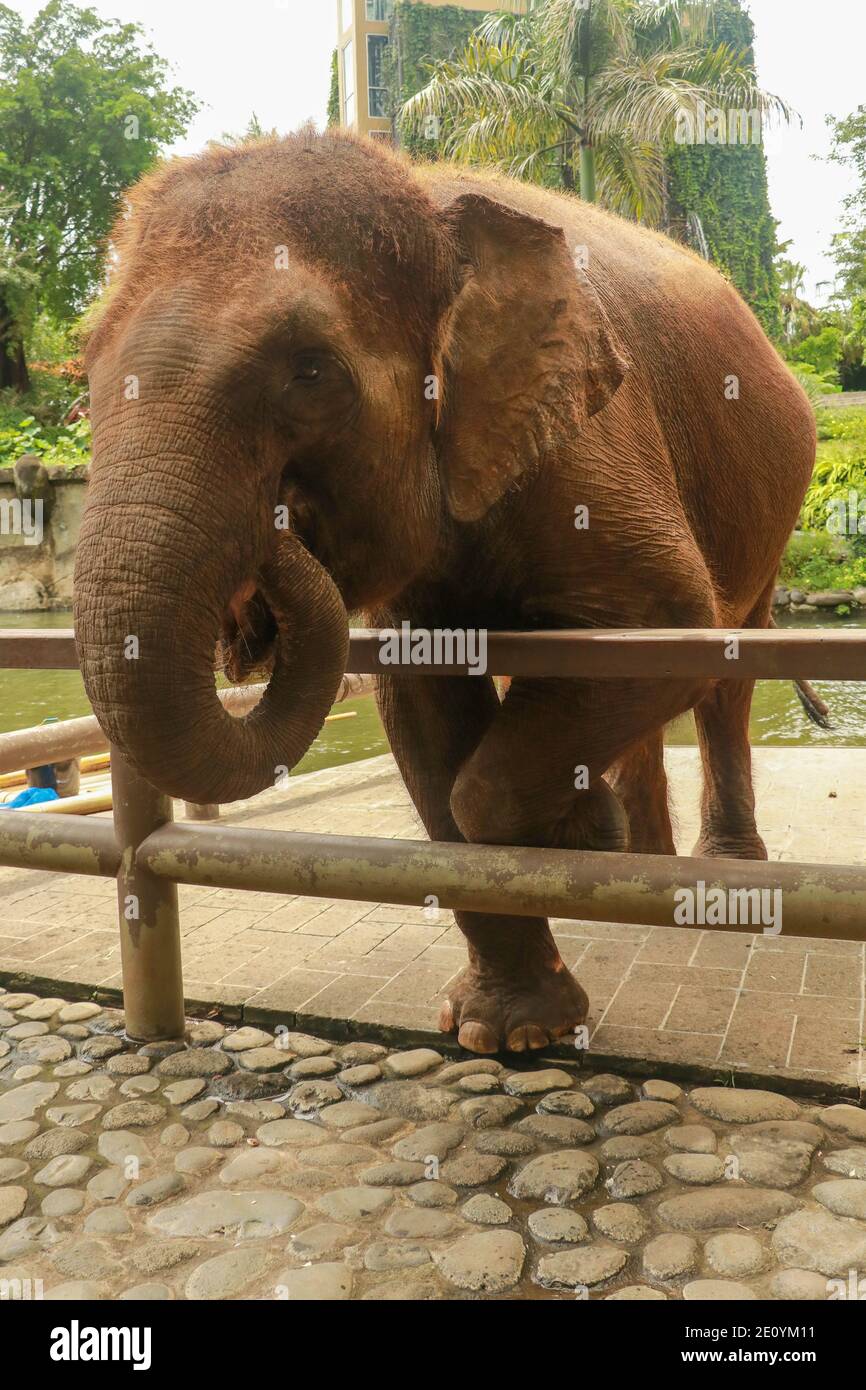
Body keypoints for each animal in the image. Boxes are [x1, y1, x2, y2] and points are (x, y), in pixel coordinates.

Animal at [73, 130, 816, 1055]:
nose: (275, 534)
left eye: (310, 371)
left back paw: (715, 877)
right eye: (83, 369)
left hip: (774, 511)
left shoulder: (593, 432)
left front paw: (569, 848)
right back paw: (632, 864)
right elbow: (425, 718)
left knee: (727, 672)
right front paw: (508, 1032)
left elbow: (663, 627)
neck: (426, 201)